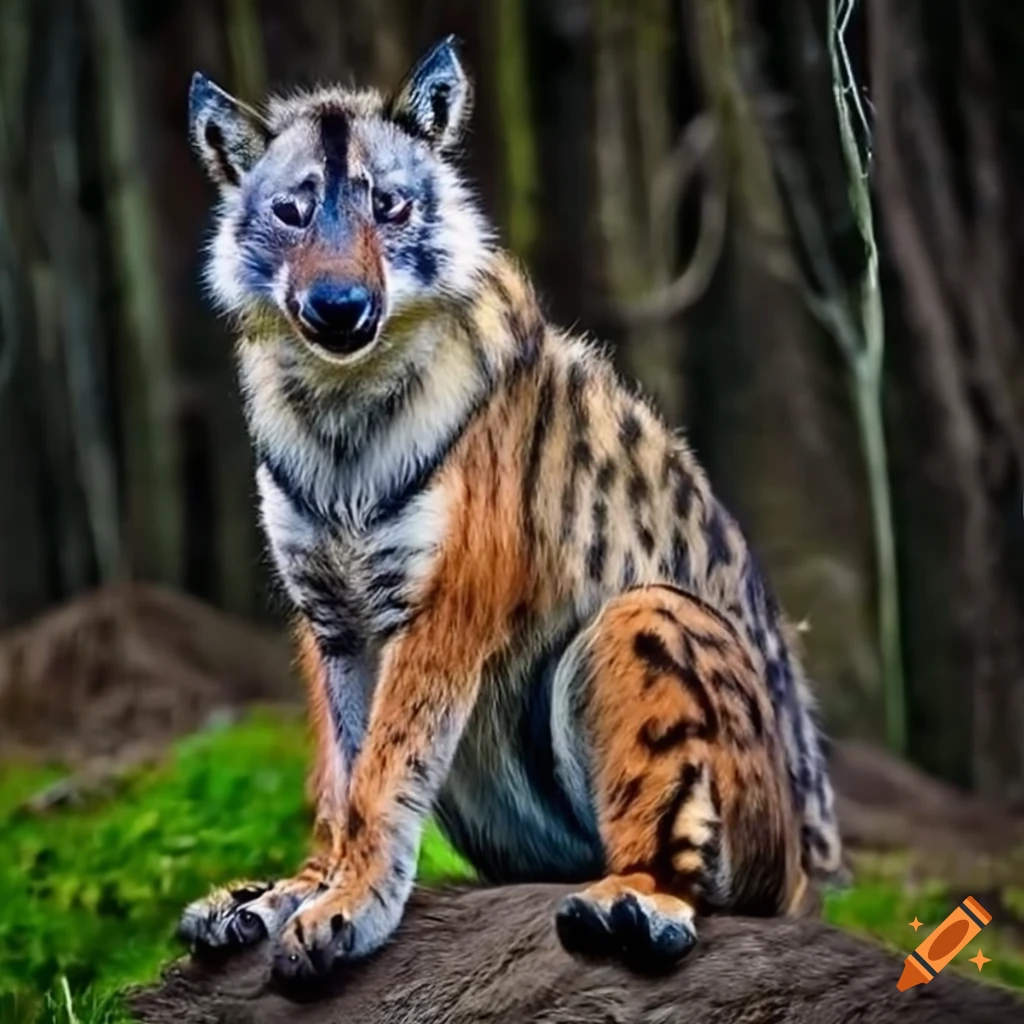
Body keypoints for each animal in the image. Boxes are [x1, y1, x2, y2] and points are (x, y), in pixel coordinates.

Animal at [178, 35, 844, 983]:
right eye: (293, 212)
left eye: (389, 206)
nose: (340, 306)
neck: (338, 407)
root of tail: (811, 880)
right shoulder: (330, 618)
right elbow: (343, 771)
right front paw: (313, 889)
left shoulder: (445, 604)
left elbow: (385, 769)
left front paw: (345, 910)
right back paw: (251, 901)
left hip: (645, 619)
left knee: (678, 866)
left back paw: (632, 909)